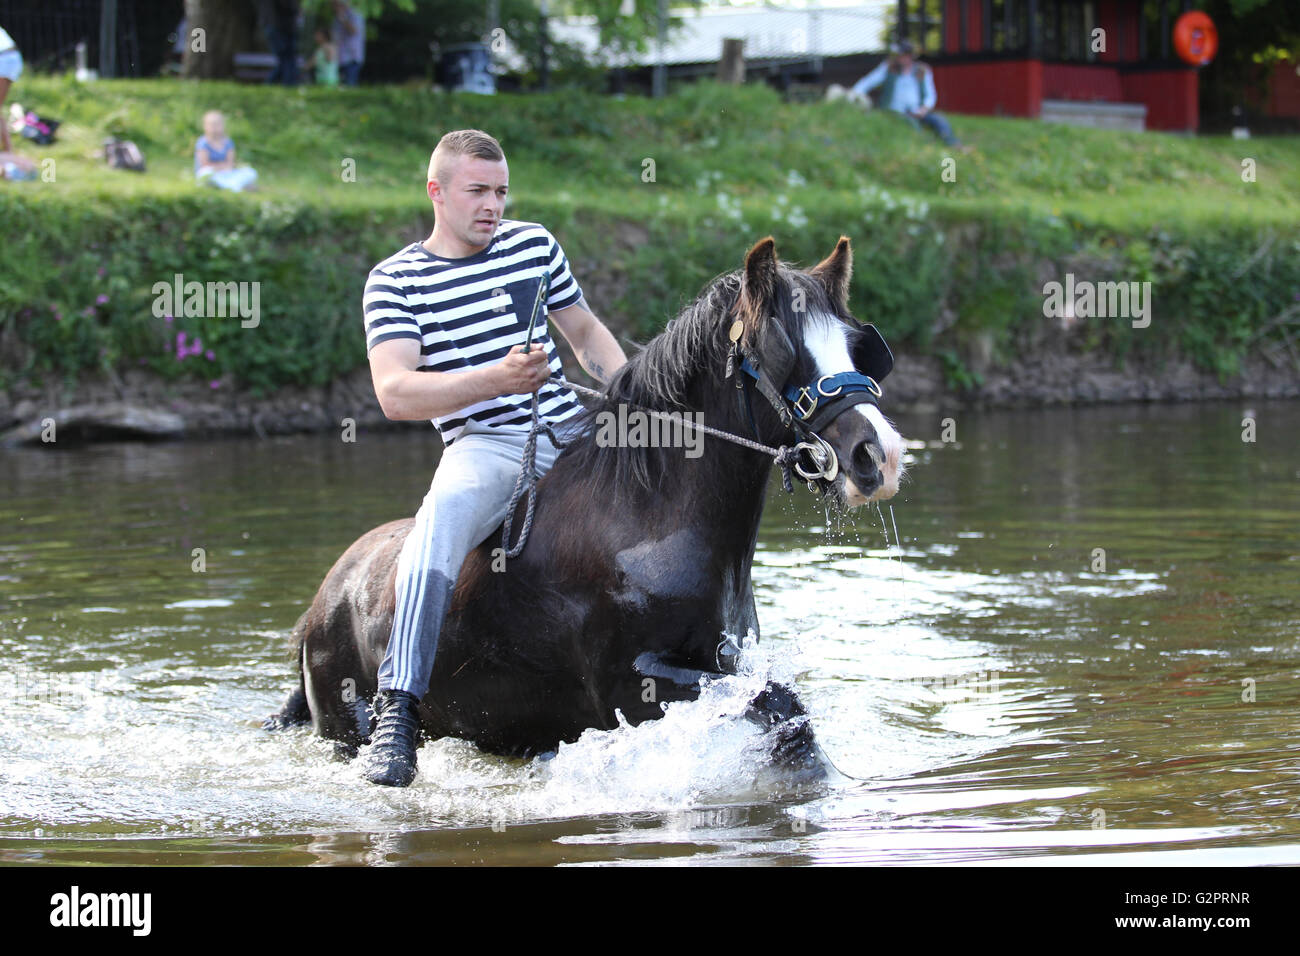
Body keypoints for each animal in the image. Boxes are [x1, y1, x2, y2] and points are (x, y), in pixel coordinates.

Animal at [265, 236, 907, 779]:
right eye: (781, 351)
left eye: (856, 347)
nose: (877, 456)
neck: (651, 523)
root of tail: (324, 598)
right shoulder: (635, 687)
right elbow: (778, 701)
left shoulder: (723, 662)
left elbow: (784, 709)